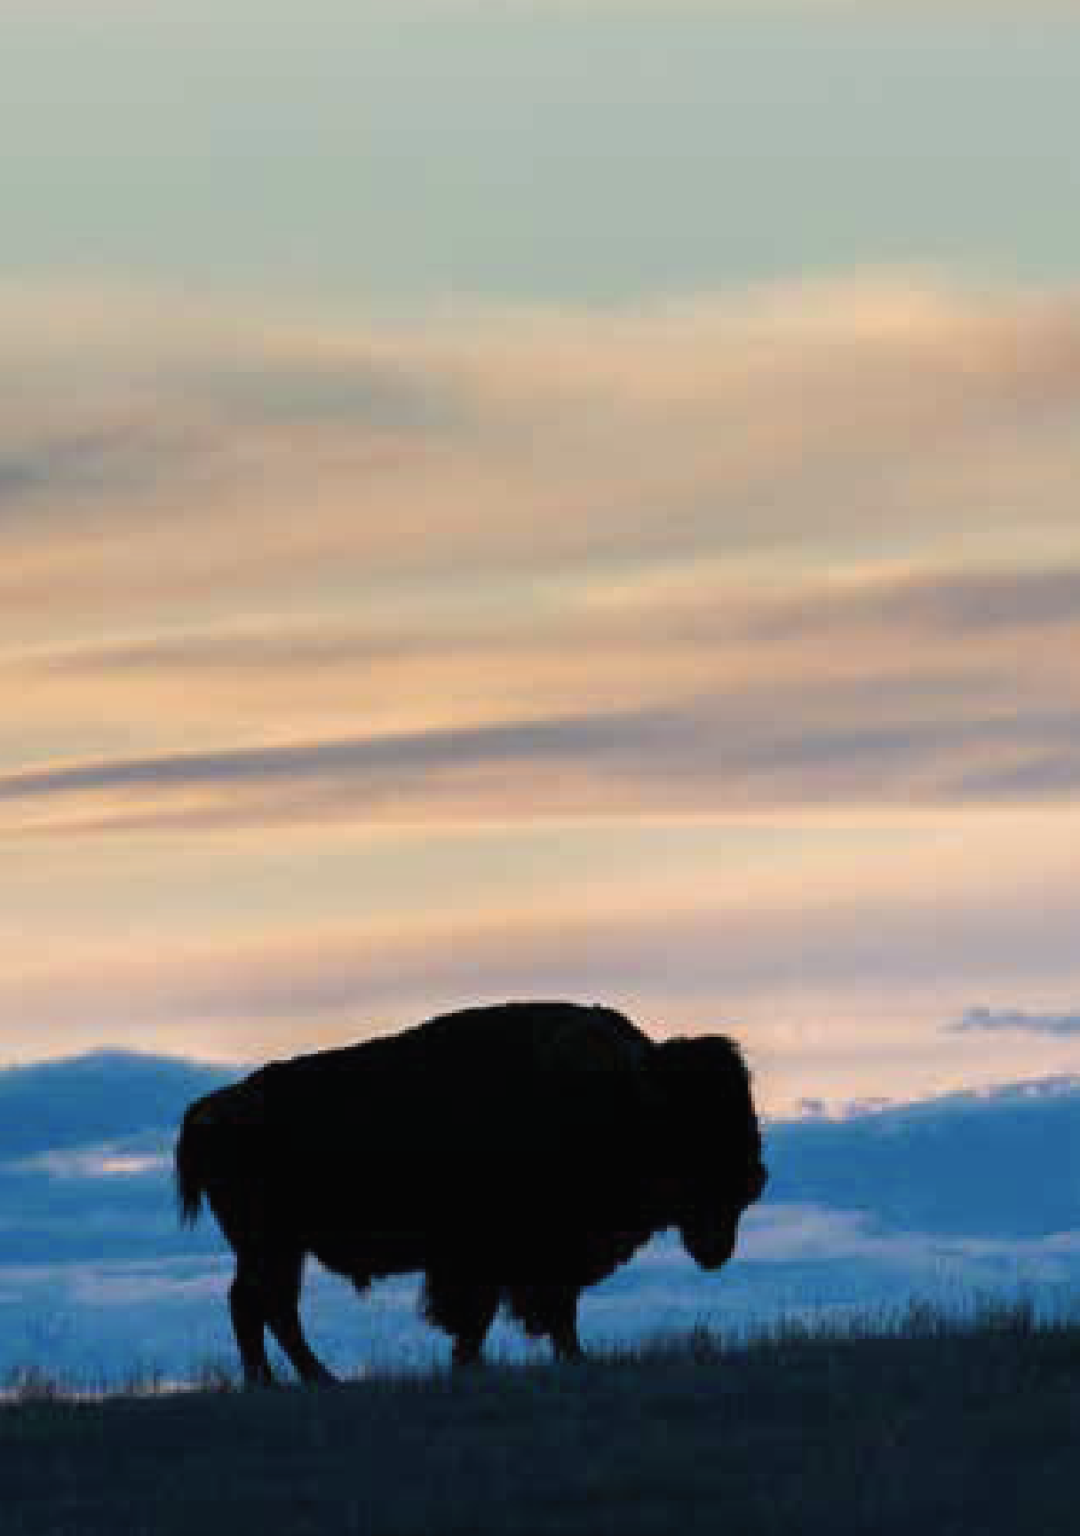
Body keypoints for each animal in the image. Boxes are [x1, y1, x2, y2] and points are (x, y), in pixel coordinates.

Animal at [176, 1000, 767, 1384]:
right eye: (698, 1123)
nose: (753, 1177)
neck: (631, 1096)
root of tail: (213, 1107)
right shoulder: (499, 1258)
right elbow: (503, 1312)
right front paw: (493, 1361)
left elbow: (547, 1312)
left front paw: (556, 1358)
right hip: (271, 1245)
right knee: (260, 1304)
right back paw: (289, 1380)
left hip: (279, 1248)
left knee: (266, 1305)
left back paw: (305, 1379)